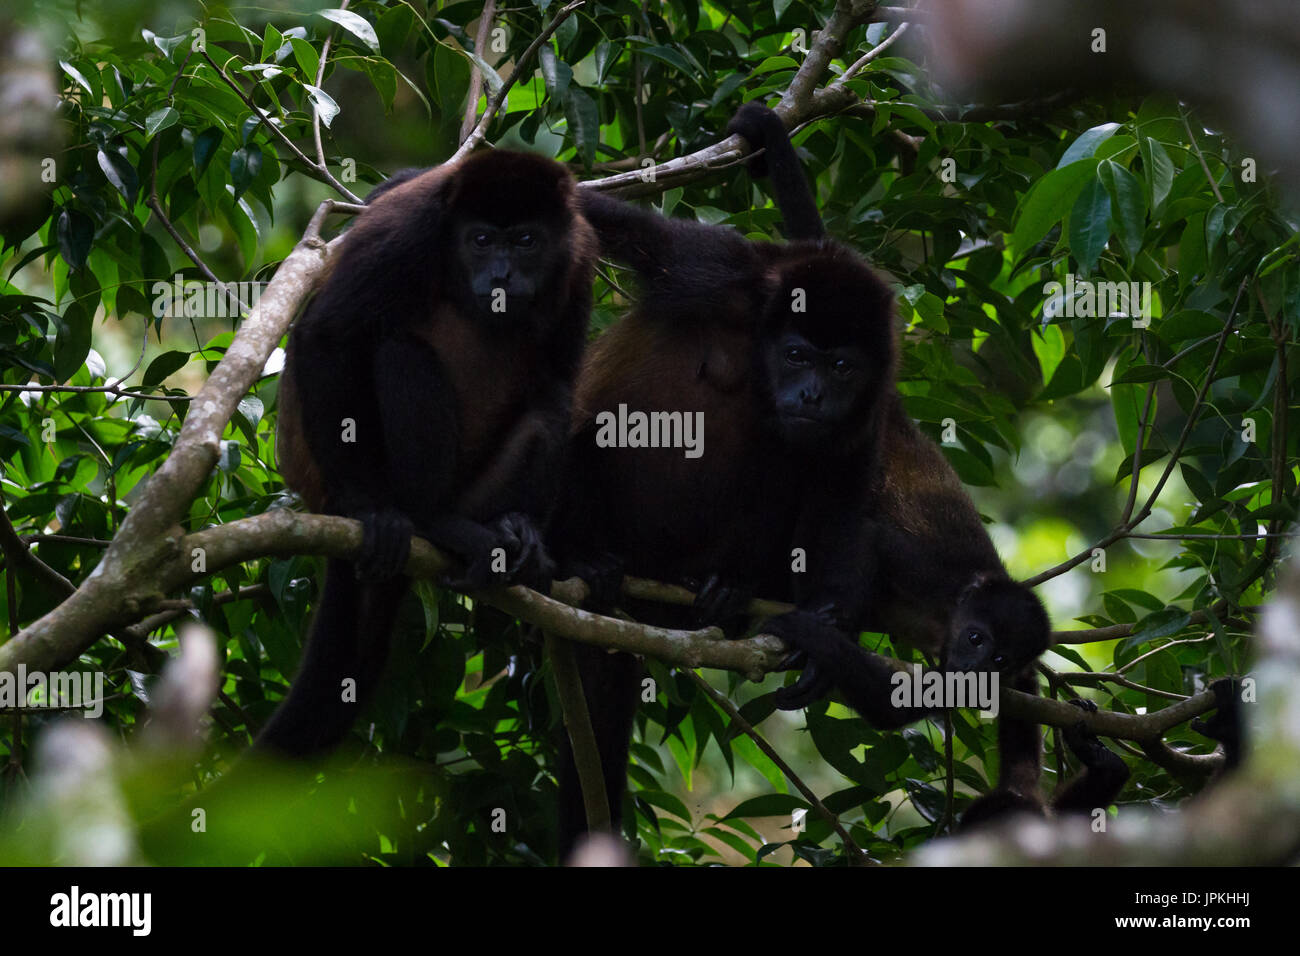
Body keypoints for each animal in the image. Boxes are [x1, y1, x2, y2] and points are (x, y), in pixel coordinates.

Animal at [258, 150, 597, 758]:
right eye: (481, 240)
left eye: (526, 241)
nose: (501, 275)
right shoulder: (408, 233)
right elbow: (327, 334)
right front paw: (372, 511)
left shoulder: (578, 257)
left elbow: (561, 376)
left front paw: (532, 535)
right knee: (399, 351)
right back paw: (428, 522)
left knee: (551, 399)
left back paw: (507, 530)